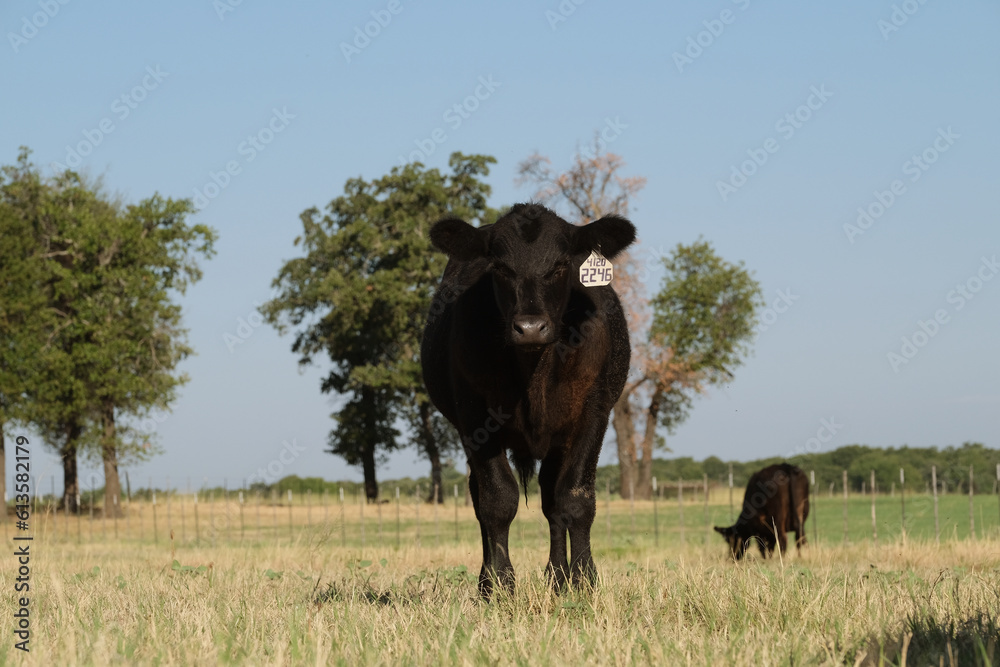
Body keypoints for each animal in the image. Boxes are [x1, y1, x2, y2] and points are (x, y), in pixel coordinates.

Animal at [421, 203, 636, 597]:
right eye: (500, 267)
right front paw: (500, 584)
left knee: (552, 499)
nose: (531, 327)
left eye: (561, 265)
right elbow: (496, 501)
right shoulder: (473, 419)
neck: (534, 373)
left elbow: (575, 498)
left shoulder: (593, 414)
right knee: (480, 499)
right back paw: (488, 579)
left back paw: (558, 576)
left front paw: (583, 580)